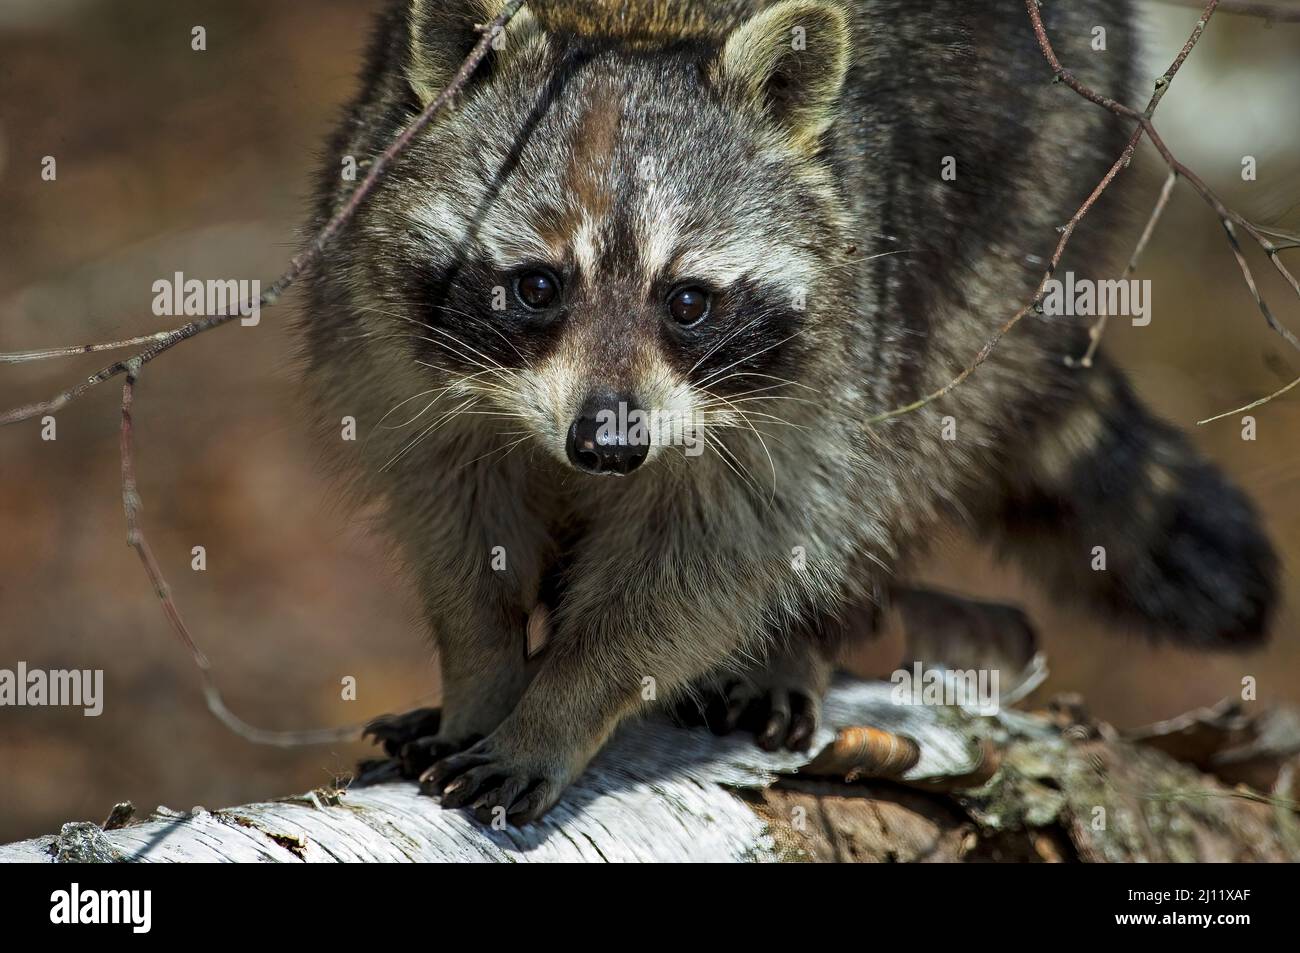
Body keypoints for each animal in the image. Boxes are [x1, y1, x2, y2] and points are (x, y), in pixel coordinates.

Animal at [300, 0, 1278, 823]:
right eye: (537, 286)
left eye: (687, 301)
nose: (608, 444)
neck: (630, 21)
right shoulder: (390, 344)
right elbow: (454, 520)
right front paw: (481, 679)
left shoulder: (815, 380)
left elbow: (711, 562)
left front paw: (566, 702)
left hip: (1032, 199)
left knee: (904, 449)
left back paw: (802, 638)